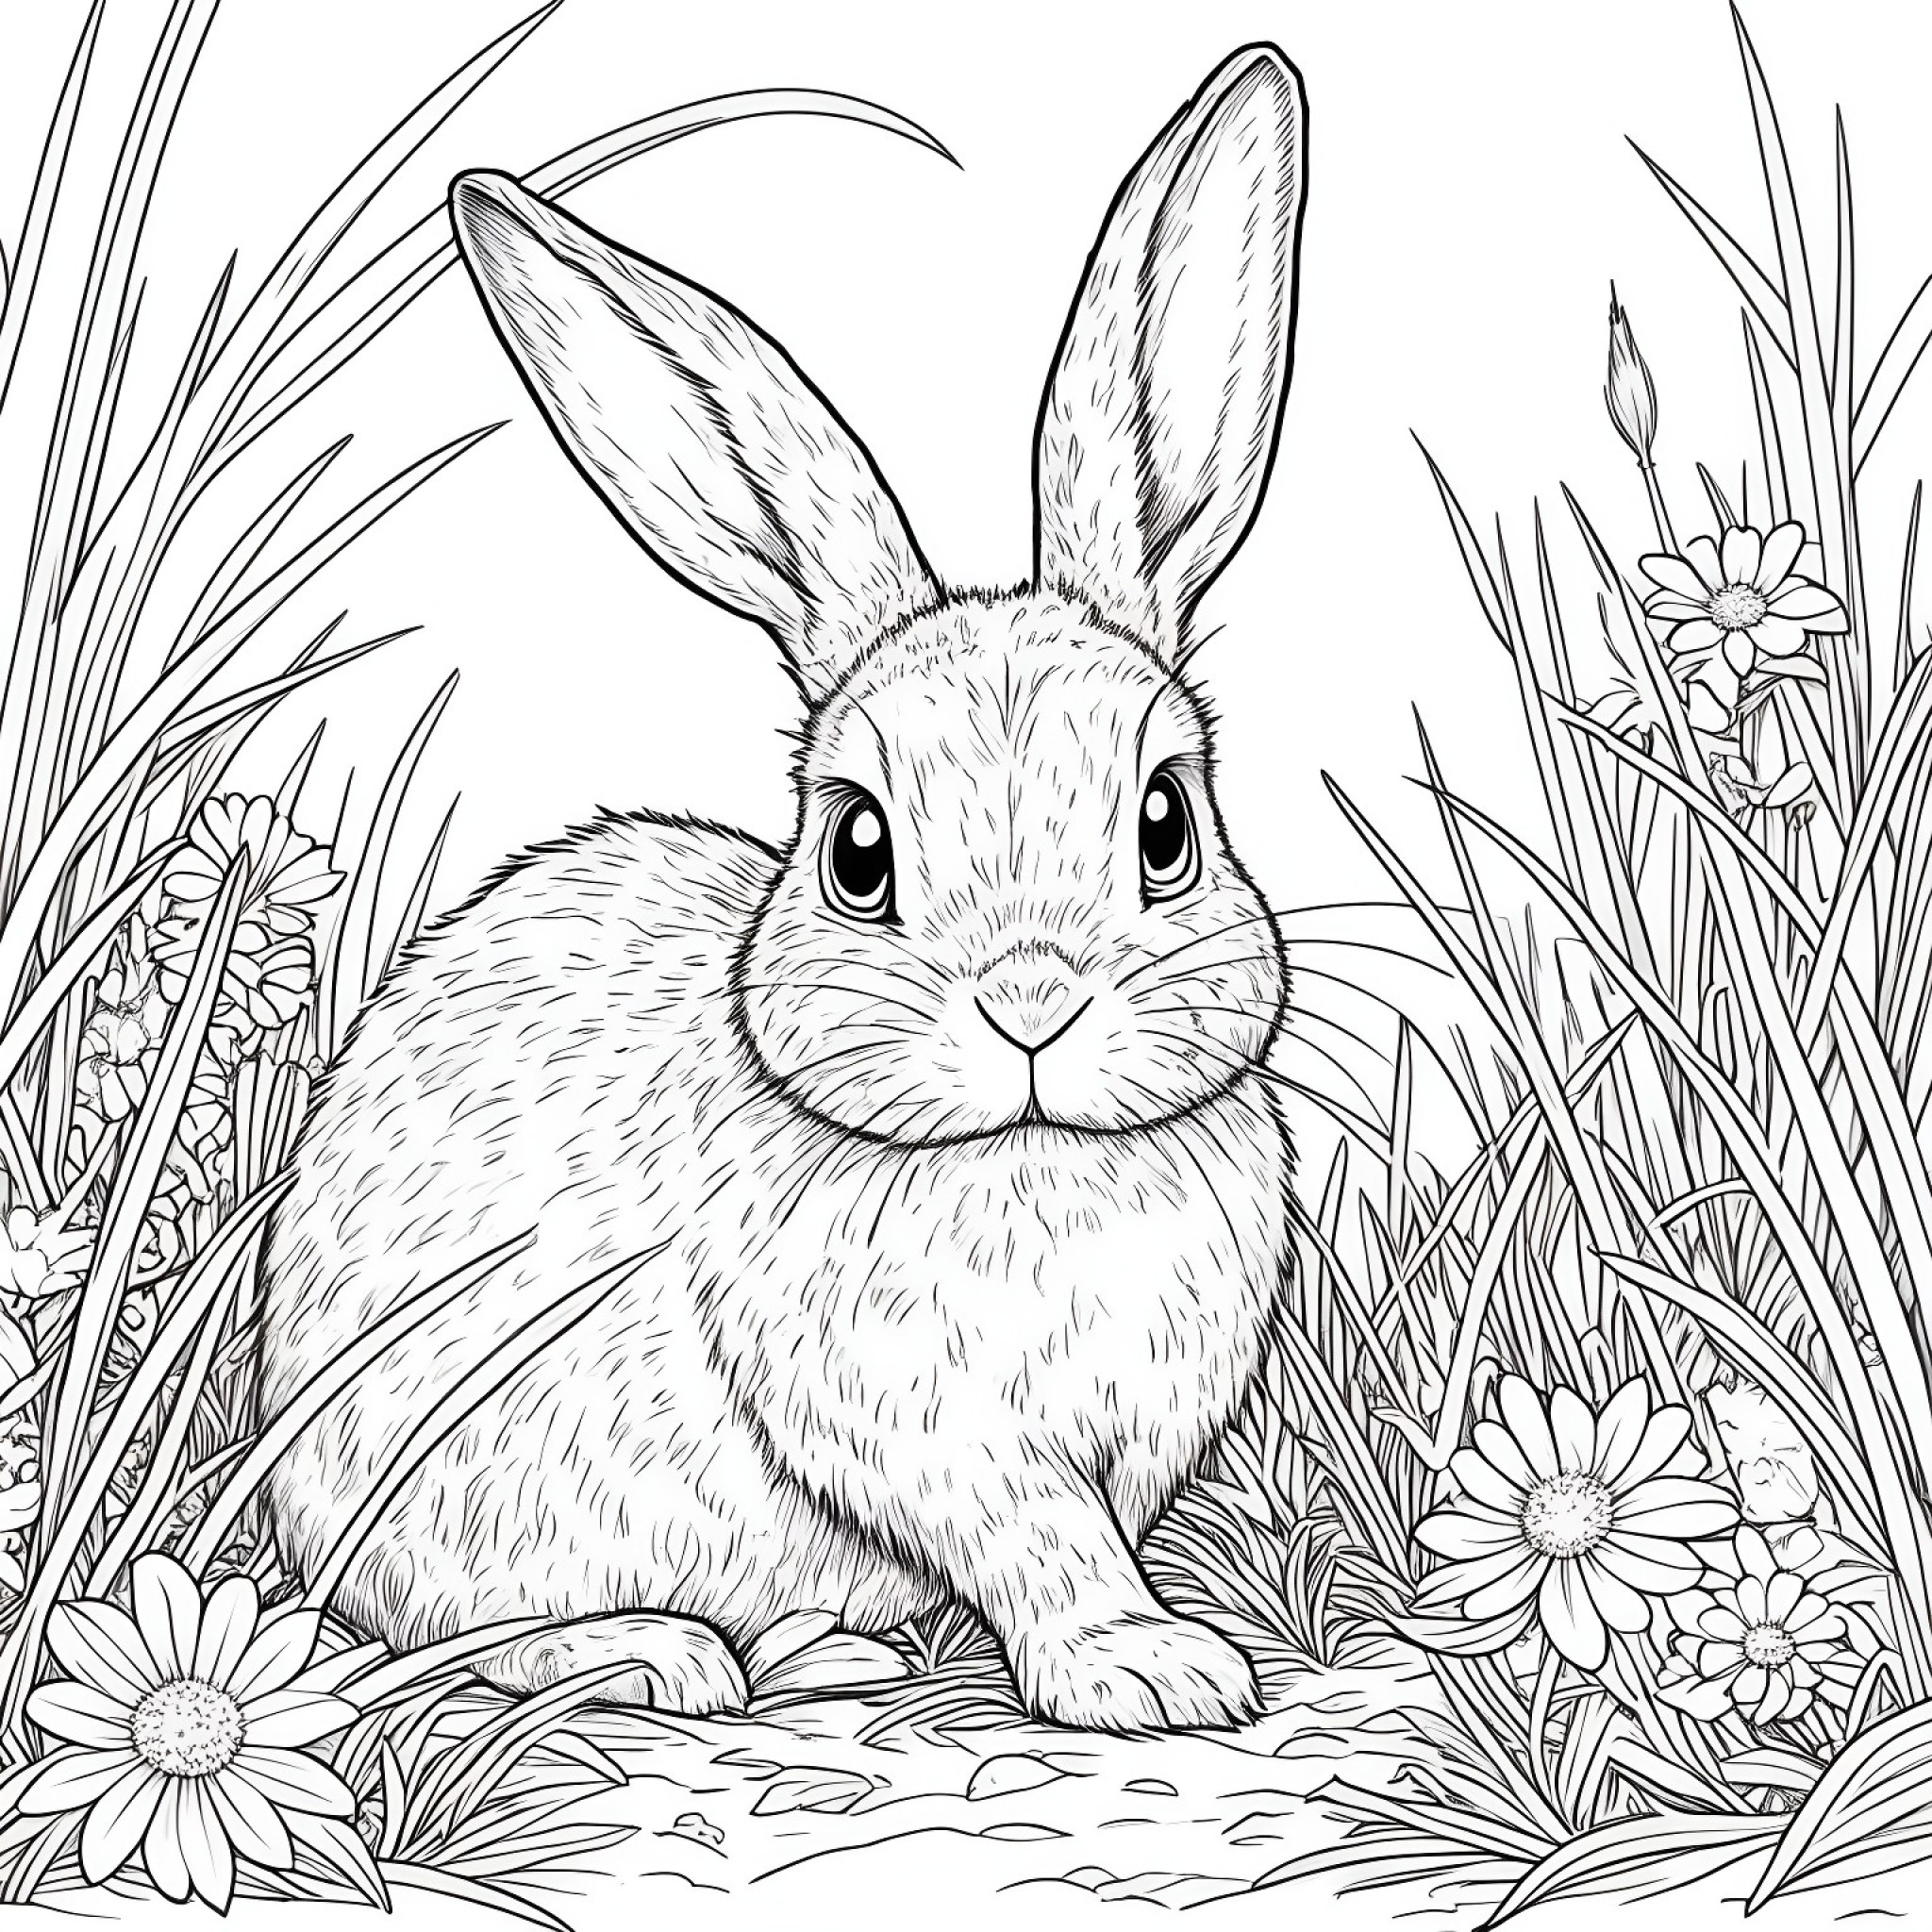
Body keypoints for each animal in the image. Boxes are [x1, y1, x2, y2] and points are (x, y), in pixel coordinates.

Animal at [258, 42, 1307, 1733]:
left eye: (1165, 822)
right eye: (857, 850)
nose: (1031, 1005)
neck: (1027, 1161)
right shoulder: (927, 1427)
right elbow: (1043, 1539)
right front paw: (1146, 1668)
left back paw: (822, 1654)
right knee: (446, 1637)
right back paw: (657, 1656)